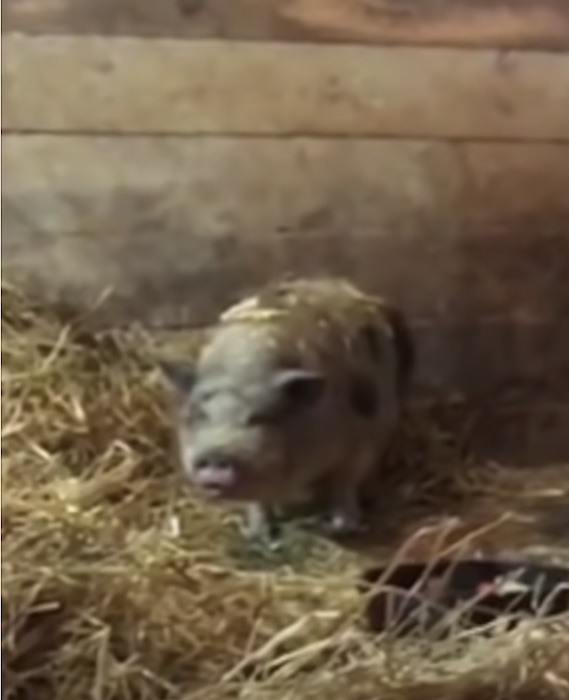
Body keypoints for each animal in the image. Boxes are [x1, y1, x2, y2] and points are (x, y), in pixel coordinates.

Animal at [159, 277, 415, 545]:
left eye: (258, 418)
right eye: (199, 416)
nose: (215, 456)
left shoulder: (365, 437)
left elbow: (345, 483)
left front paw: (342, 527)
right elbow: (258, 501)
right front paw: (258, 535)